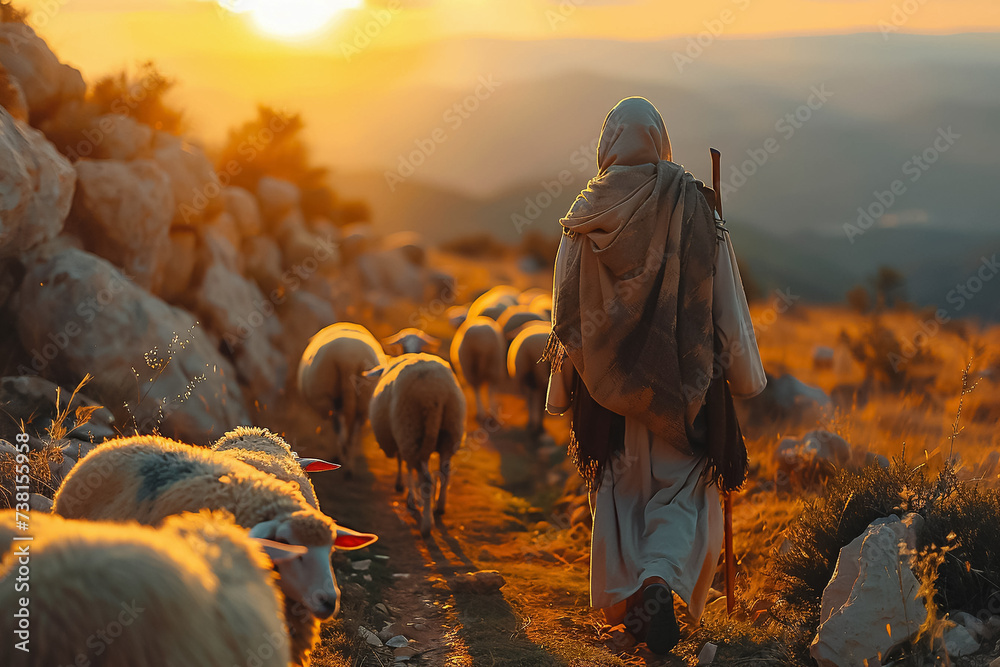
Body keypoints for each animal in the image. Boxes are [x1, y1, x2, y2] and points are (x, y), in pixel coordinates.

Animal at [297, 322, 387, 475]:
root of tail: (348, 359)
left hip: (328, 396)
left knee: (340, 425)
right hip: (363, 399)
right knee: (354, 426)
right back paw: (349, 462)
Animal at [366, 353, 466, 536]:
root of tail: (435, 391)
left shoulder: (401, 437)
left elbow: (404, 464)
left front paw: (406, 493)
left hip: (411, 428)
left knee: (426, 478)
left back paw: (426, 525)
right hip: (450, 428)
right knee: (444, 471)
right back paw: (439, 508)